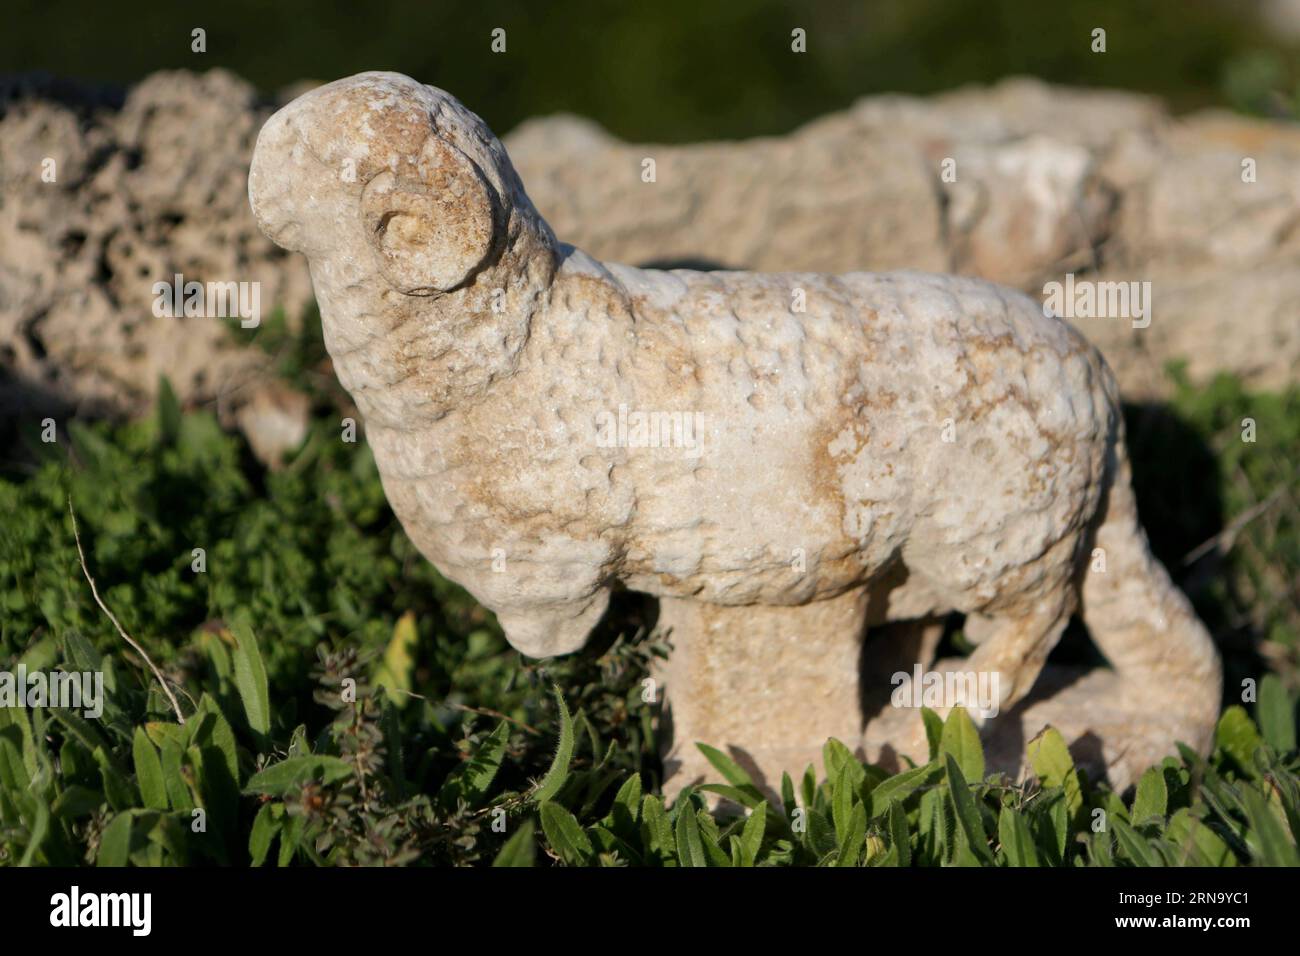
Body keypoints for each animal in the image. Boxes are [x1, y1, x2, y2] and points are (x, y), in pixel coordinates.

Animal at [249, 71, 1222, 794]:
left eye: (319, 151)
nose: (256, 155)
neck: (508, 340)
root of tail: (1093, 371)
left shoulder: (548, 560)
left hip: (993, 531)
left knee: (1037, 624)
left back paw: (932, 710)